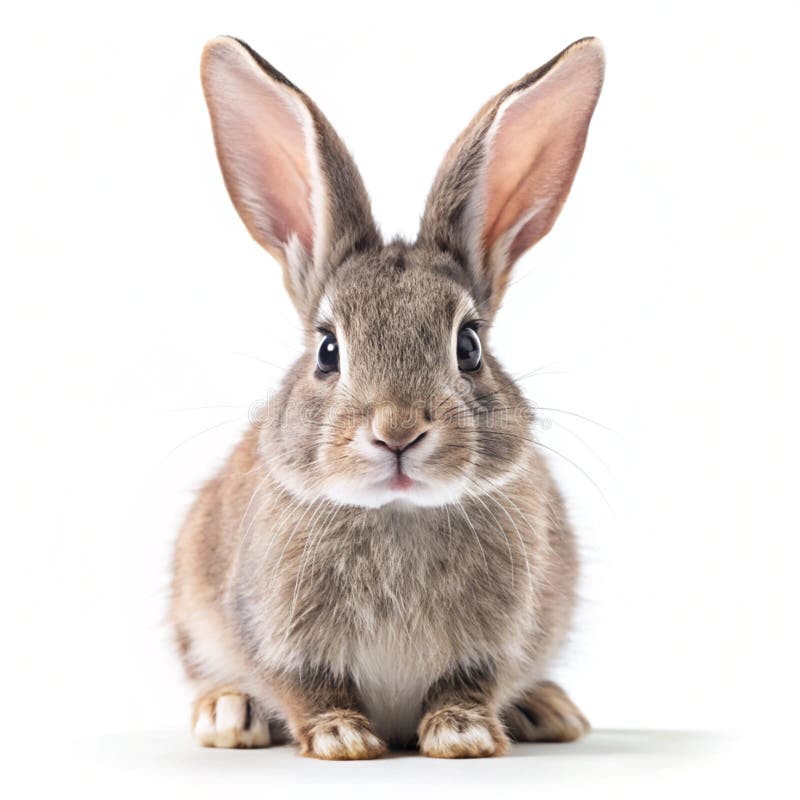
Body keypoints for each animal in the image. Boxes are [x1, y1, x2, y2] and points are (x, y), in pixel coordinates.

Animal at [171, 34, 604, 759]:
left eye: (468, 346)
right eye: (327, 350)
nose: (397, 431)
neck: (397, 512)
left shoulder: (498, 640)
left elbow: (469, 682)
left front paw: (462, 735)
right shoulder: (273, 633)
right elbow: (306, 687)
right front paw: (342, 739)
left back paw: (547, 709)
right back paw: (228, 713)